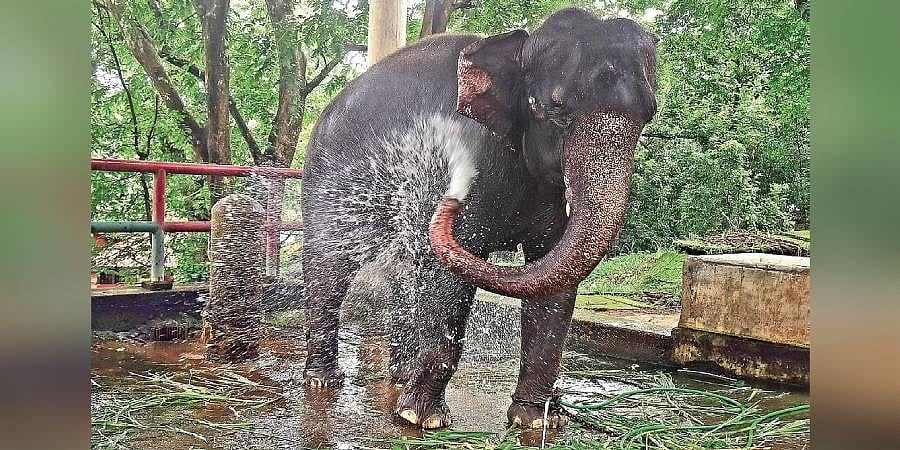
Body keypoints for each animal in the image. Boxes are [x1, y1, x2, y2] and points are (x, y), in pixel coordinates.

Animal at [300, 7, 658, 430]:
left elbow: (552, 272)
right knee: (330, 263)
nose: (451, 194)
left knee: (406, 268)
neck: (517, 47)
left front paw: (538, 421)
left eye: (648, 116)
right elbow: (452, 274)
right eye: (553, 109)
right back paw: (323, 381)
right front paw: (421, 418)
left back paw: (400, 377)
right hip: (328, 180)